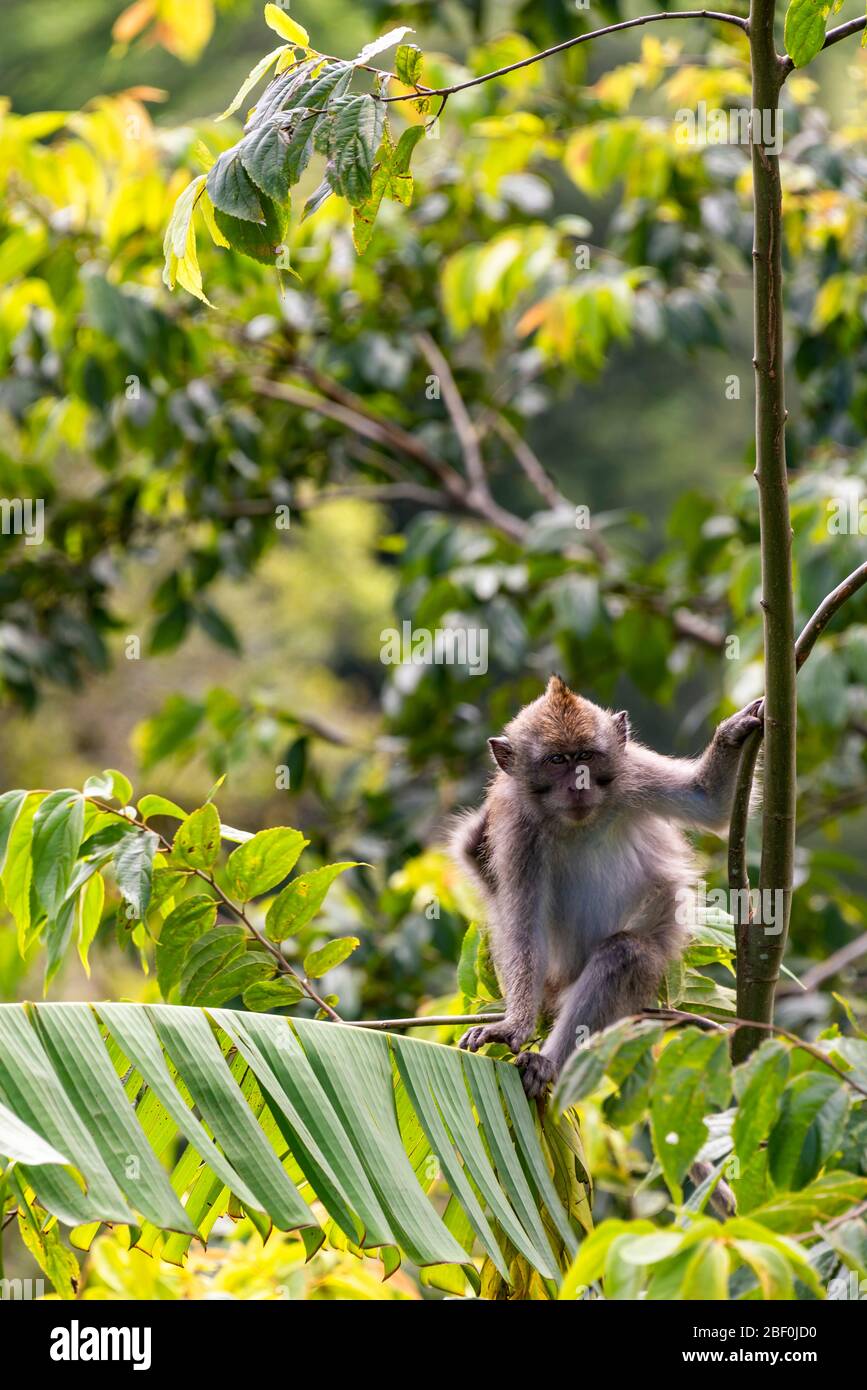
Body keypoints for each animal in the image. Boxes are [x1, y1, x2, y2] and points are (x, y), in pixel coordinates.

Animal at [452, 675, 763, 1098]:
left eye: (586, 755)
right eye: (557, 761)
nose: (578, 785)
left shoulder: (632, 772)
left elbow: (711, 801)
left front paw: (734, 732)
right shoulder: (517, 826)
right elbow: (523, 928)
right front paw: (514, 1025)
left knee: (626, 953)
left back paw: (547, 1062)